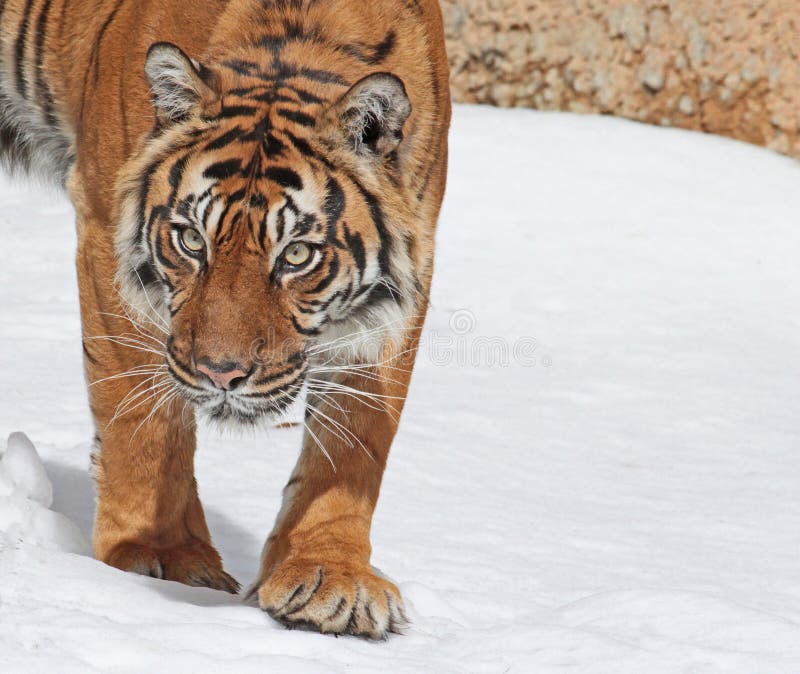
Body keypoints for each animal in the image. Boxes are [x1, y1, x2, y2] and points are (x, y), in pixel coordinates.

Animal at [0, 0, 450, 639]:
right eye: (192, 240)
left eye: (296, 255)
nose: (222, 375)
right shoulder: (106, 229)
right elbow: (144, 418)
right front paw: (158, 555)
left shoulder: (404, 278)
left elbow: (356, 441)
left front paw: (330, 576)